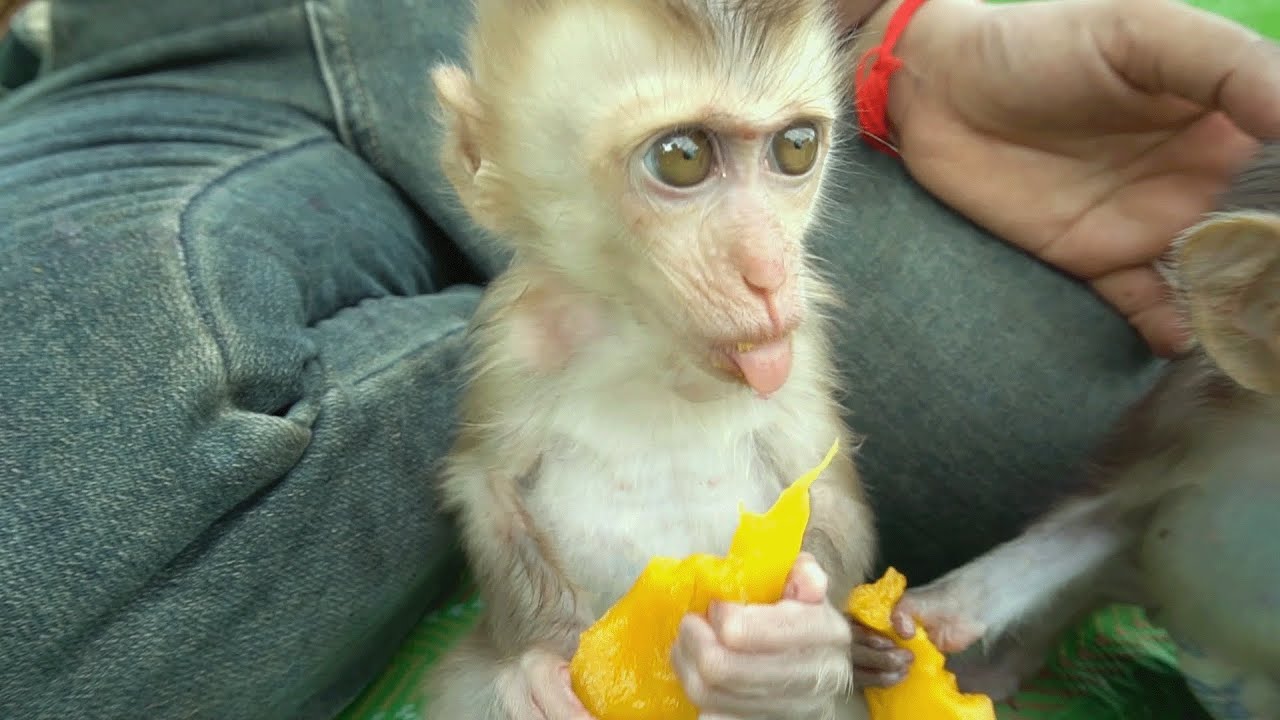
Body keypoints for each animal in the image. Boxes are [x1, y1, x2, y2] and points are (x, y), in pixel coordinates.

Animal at [418, 1, 906, 718]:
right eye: (682, 158)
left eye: (795, 147)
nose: (769, 272)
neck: (651, 341)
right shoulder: (515, 344)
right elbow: (487, 486)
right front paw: (544, 670)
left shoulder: (803, 345)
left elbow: (832, 492)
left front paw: (787, 650)